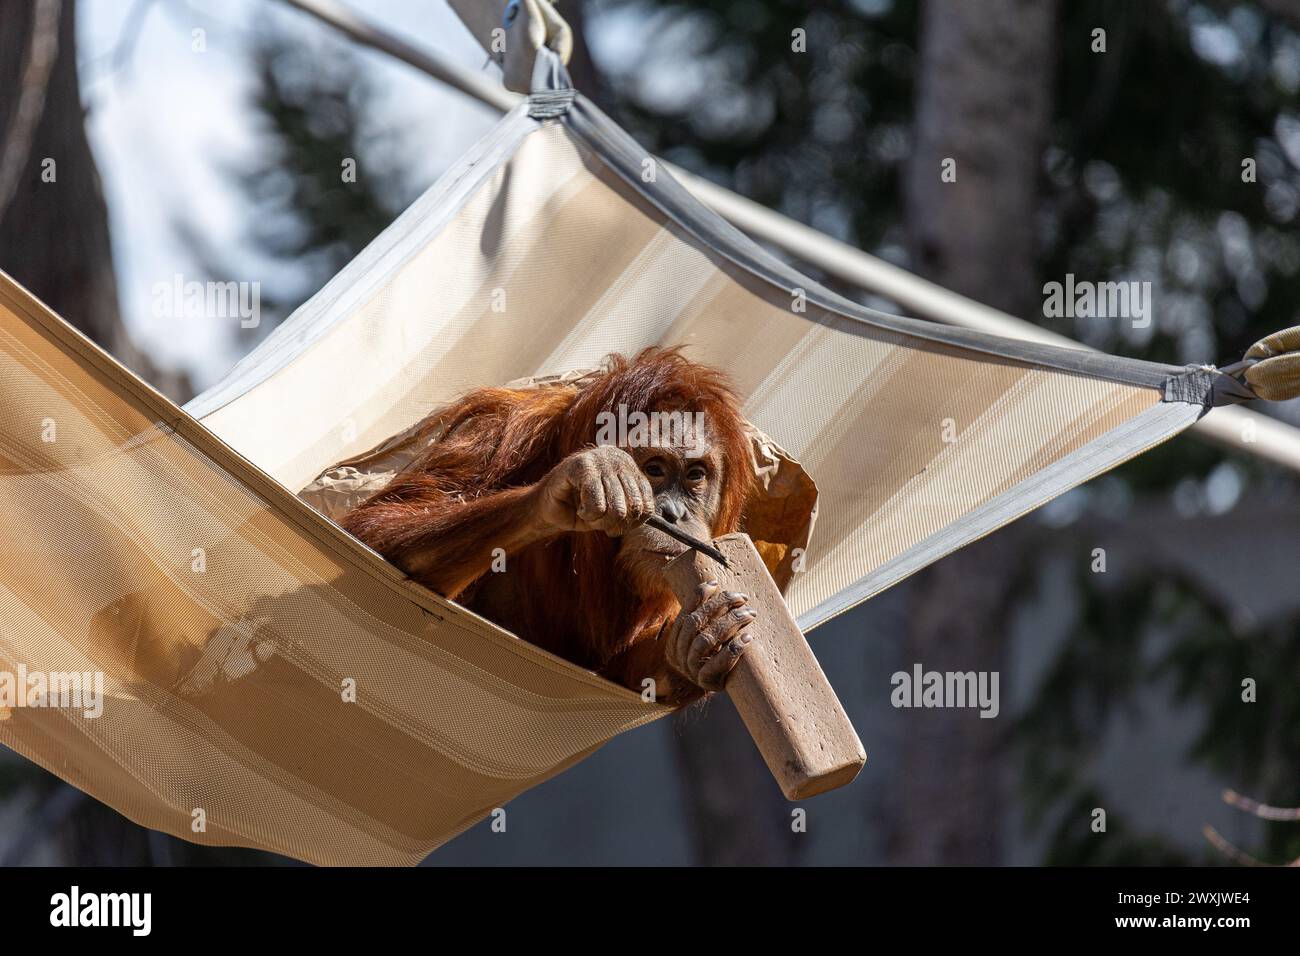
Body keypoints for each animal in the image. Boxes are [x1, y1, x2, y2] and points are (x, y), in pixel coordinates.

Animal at [341, 347, 758, 705]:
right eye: (654, 469)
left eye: (695, 475)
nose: (673, 514)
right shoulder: (494, 432)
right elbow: (374, 525)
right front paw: (580, 478)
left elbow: (629, 672)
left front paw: (700, 639)